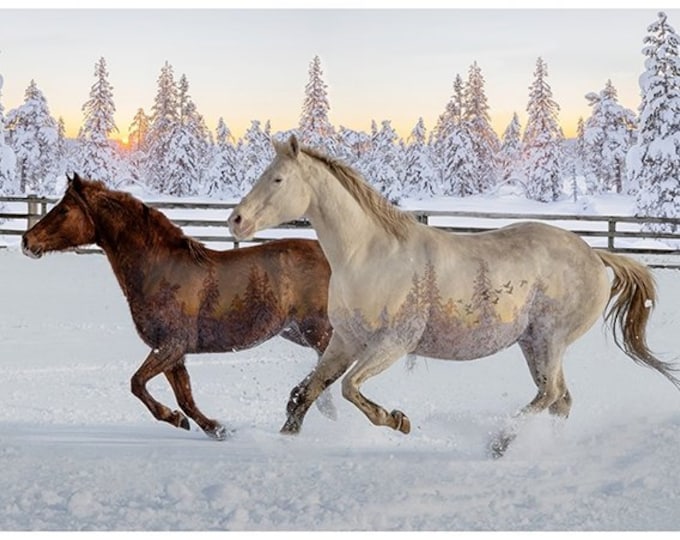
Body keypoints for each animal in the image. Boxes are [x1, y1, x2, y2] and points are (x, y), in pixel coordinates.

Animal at [21, 174, 335, 440]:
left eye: (64, 210)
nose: (27, 241)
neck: (160, 269)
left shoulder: (170, 345)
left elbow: (137, 383)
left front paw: (174, 417)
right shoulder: (174, 353)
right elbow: (185, 398)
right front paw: (214, 428)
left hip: (317, 329)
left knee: (330, 368)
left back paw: (295, 417)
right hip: (296, 331)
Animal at [227, 134, 679, 455]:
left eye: (278, 179)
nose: (236, 220)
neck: (369, 255)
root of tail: (595, 254)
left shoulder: (393, 343)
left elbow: (349, 389)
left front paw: (398, 420)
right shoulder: (345, 340)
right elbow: (308, 391)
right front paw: (286, 436)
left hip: (549, 340)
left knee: (550, 394)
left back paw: (499, 443)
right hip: (534, 343)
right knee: (560, 400)